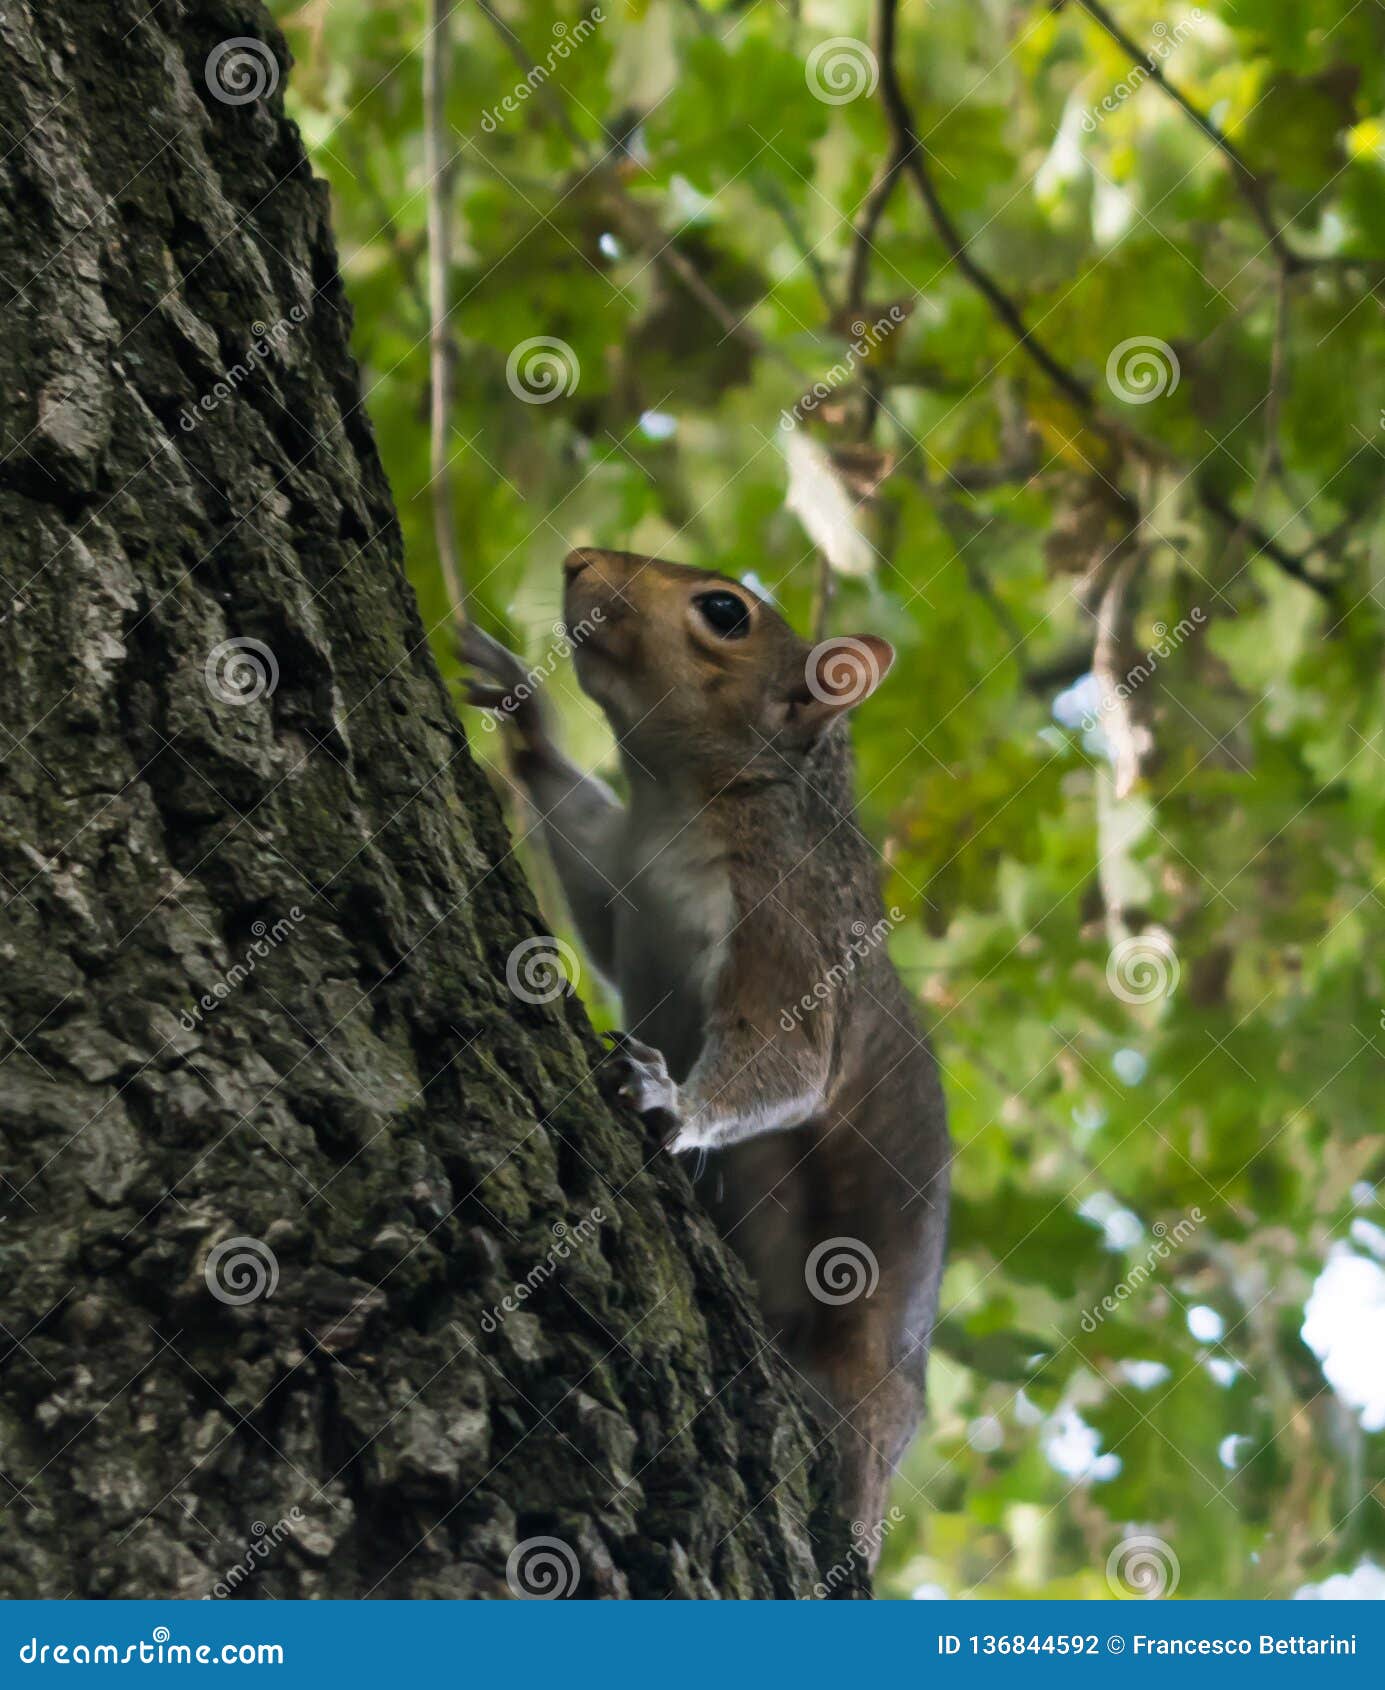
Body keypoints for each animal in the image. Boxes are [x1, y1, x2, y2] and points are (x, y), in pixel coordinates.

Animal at [462, 548, 950, 1554]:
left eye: (723, 613)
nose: (576, 559)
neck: (677, 800)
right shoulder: (624, 884)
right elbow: (594, 893)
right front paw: (525, 714)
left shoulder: (785, 926)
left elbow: (787, 1056)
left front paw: (667, 1102)